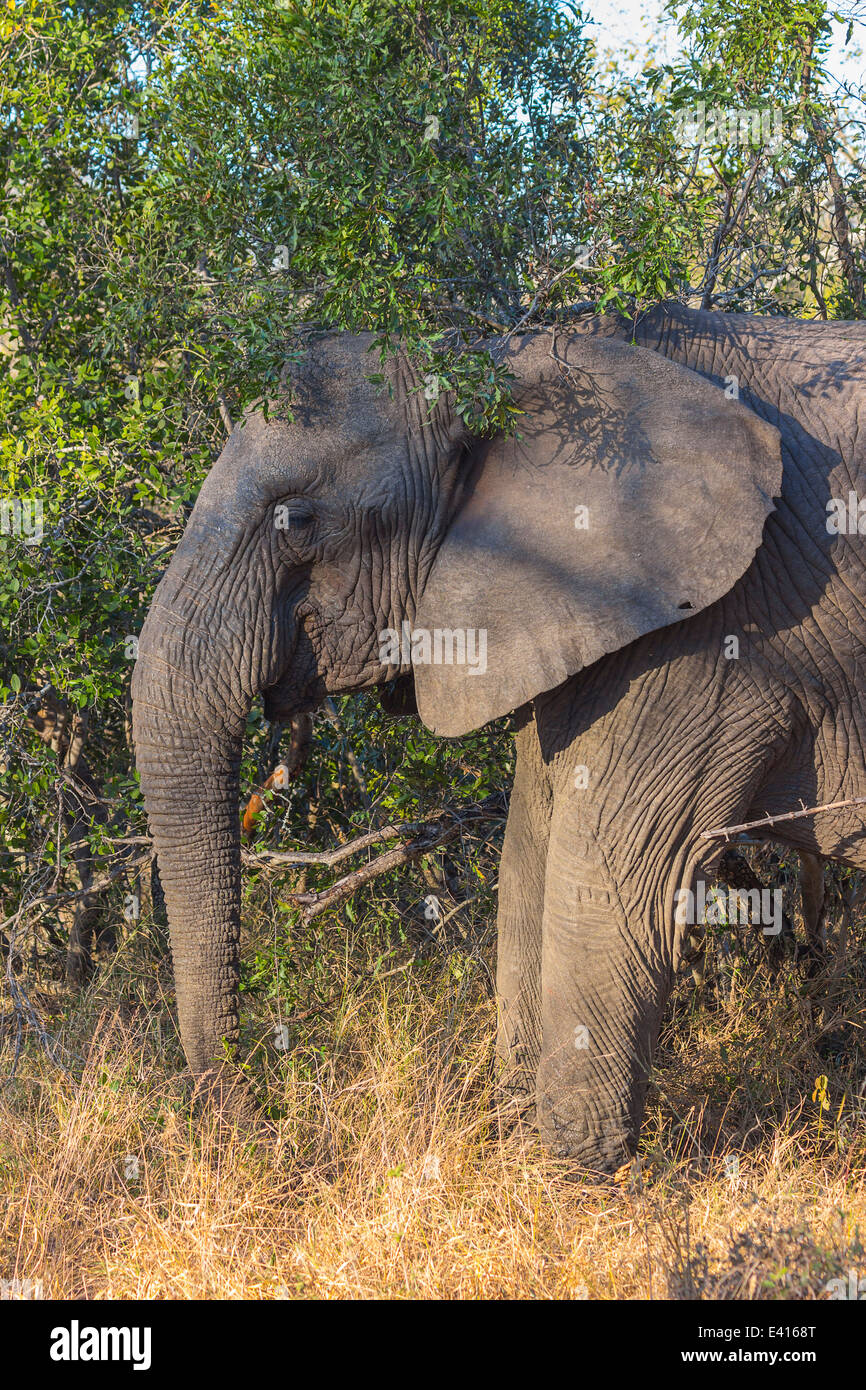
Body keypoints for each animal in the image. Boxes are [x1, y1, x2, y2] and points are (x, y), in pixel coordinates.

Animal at [131, 302, 866, 1171]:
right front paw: (517, 1139)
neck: (495, 371)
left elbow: (609, 888)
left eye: (299, 520)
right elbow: (529, 859)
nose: (264, 1129)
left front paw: (576, 1181)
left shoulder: (716, 636)